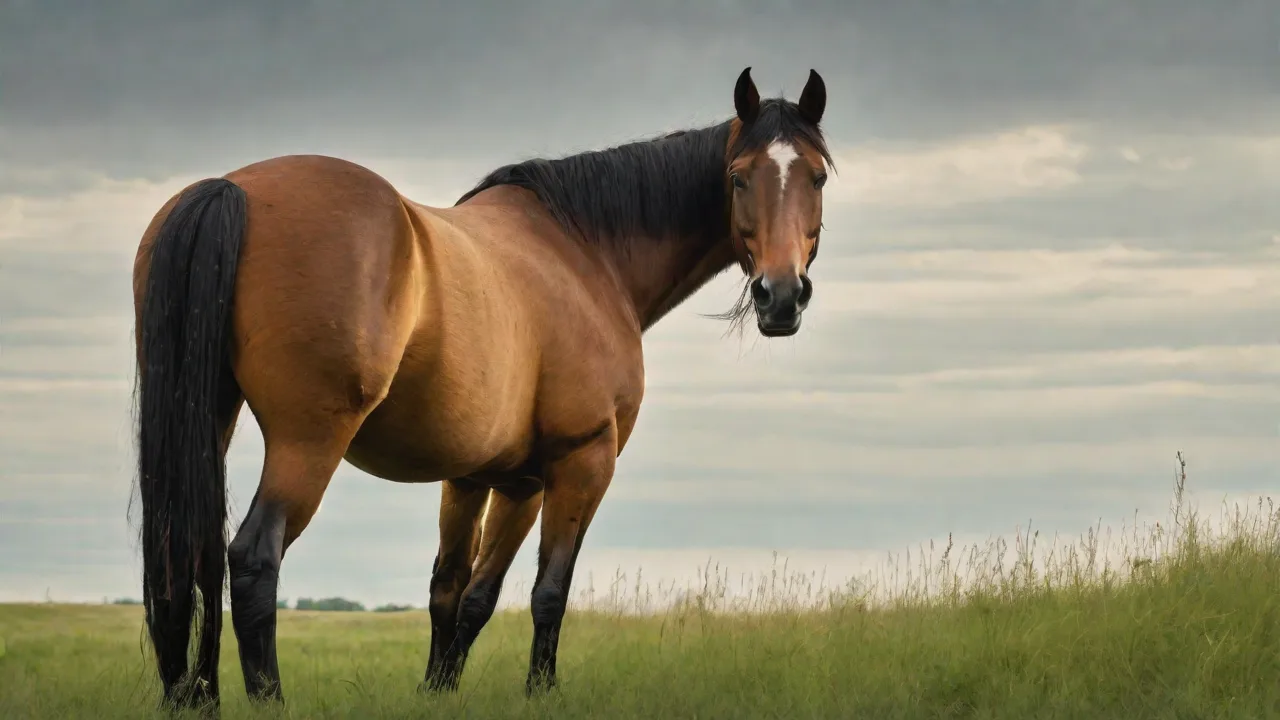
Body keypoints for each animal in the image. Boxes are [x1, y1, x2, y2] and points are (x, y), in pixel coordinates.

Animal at [131, 66, 833, 710]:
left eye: (818, 176)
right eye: (739, 176)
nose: (780, 297)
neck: (587, 253)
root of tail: (233, 190)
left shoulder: (481, 478)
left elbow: (457, 594)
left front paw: (437, 691)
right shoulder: (571, 466)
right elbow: (546, 591)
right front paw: (540, 693)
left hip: (209, 420)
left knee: (188, 555)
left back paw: (194, 696)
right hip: (309, 442)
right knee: (253, 559)